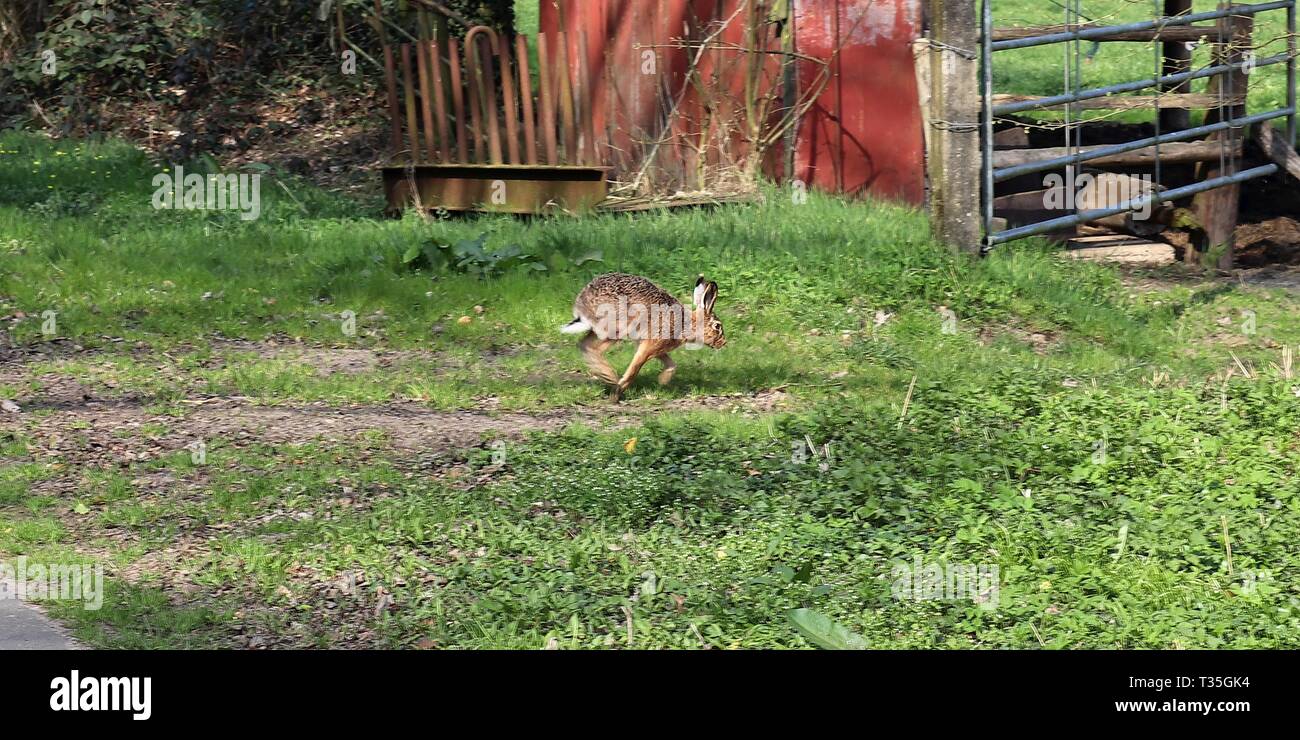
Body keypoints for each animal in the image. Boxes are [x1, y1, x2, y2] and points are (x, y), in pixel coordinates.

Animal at [561, 273, 725, 402]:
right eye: (717, 326)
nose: (723, 343)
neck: (688, 323)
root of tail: (582, 307)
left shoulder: (655, 347)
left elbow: (671, 364)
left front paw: (662, 381)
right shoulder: (650, 345)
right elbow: (635, 368)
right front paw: (617, 394)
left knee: (583, 344)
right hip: (616, 330)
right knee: (592, 347)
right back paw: (611, 377)